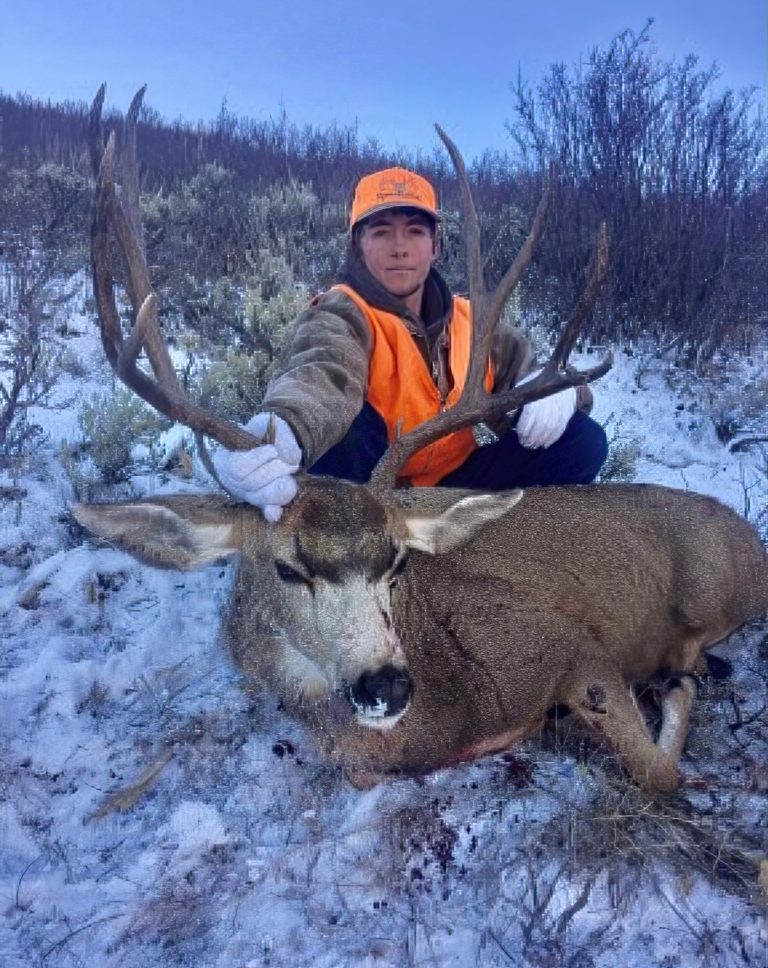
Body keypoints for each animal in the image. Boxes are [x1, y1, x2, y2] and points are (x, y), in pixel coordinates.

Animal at [74, 87, 768, 794]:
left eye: (398, 563)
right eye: (287, 568)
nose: (385, 684)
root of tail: (750, 537)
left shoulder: (574, 640)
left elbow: (658, 771)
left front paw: (663, 699)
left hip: (709, 594)